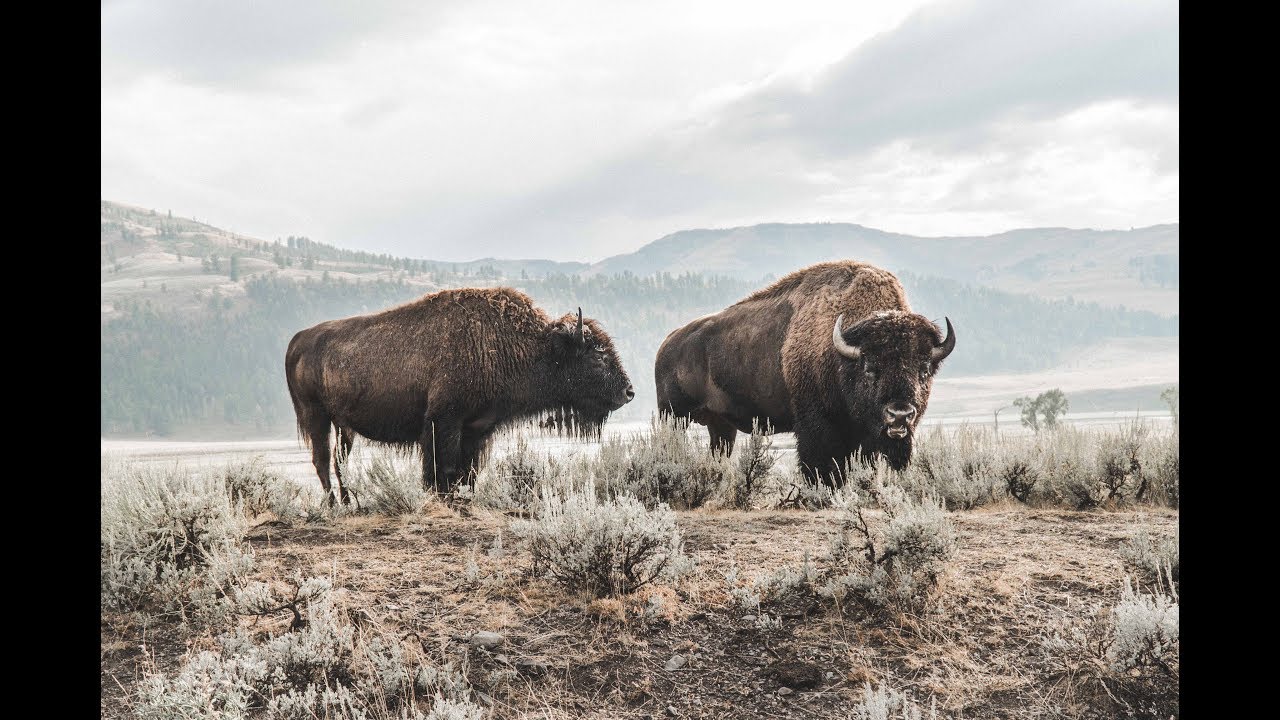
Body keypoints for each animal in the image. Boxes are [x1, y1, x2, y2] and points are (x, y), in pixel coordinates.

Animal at [286, 287, 634, 502]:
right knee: (322, 460)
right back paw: (334, 504)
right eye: (597, 356)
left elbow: (468, 473)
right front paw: (441, 498)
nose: (628, 391)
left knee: (339, 461)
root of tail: (298, 339)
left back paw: (350, 502)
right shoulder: (444, 422)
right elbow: (443, 469)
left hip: (343, 425)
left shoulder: (477, 430)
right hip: (316, 416)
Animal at [655, 261, 954, 486]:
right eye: (870, 367)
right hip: (673, 416)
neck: (843, 356)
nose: (900, 414)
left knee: (719, 451)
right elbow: (820, 465)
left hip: (721, 426)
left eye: (924, 369)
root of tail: (667, 344)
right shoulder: (817, 426)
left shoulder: (864, 437)